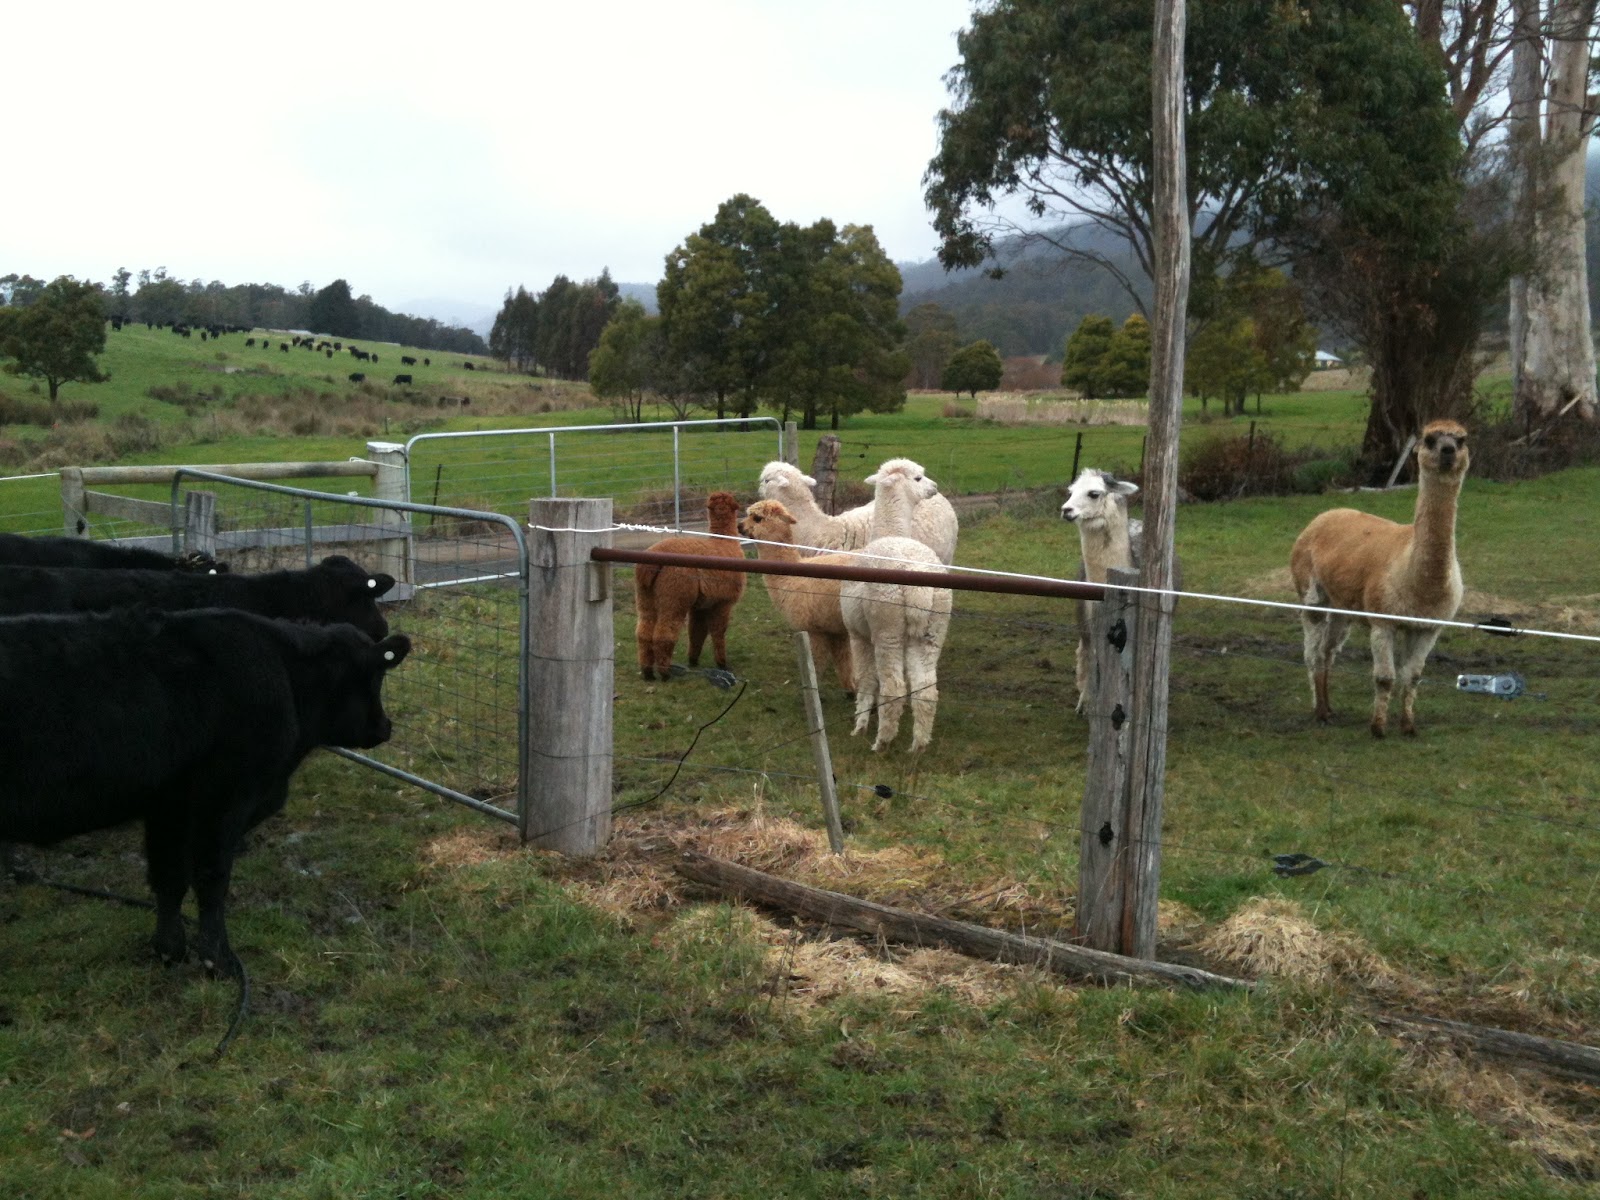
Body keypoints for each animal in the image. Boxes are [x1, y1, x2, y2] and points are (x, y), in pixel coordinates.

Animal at [0, 607, 410, 976]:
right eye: (376, 677)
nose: (386, 727)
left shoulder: (169, 802)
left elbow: (169, 875)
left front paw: (169, 950)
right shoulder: (223, 793)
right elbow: (211, 876)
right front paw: (218, 960)